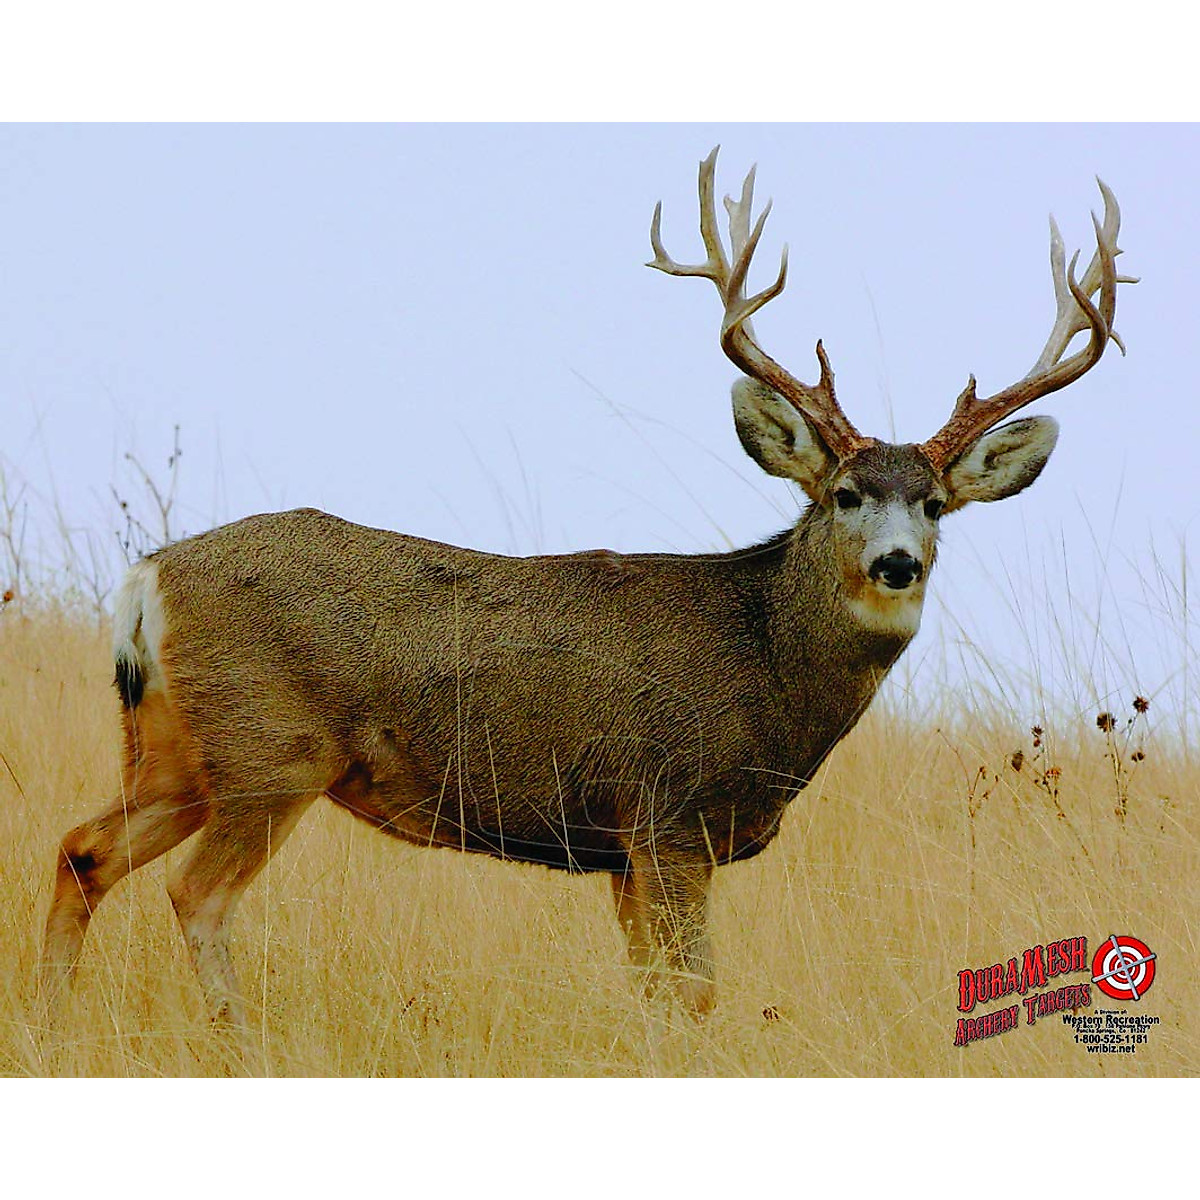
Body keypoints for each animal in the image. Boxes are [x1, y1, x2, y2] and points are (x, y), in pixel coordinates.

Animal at [41, 148, 1133, 1030]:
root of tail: (146, 578)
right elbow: (693, 993)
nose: (897, 562)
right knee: (194, 894)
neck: (767, 668)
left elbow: (651, 992)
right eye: (845, 494)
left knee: (81, 849)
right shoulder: (668, 815)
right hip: (271, 750)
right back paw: (235, 1039)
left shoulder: (622, 850)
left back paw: (51, 1021)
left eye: (939, 506)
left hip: (177, 748)